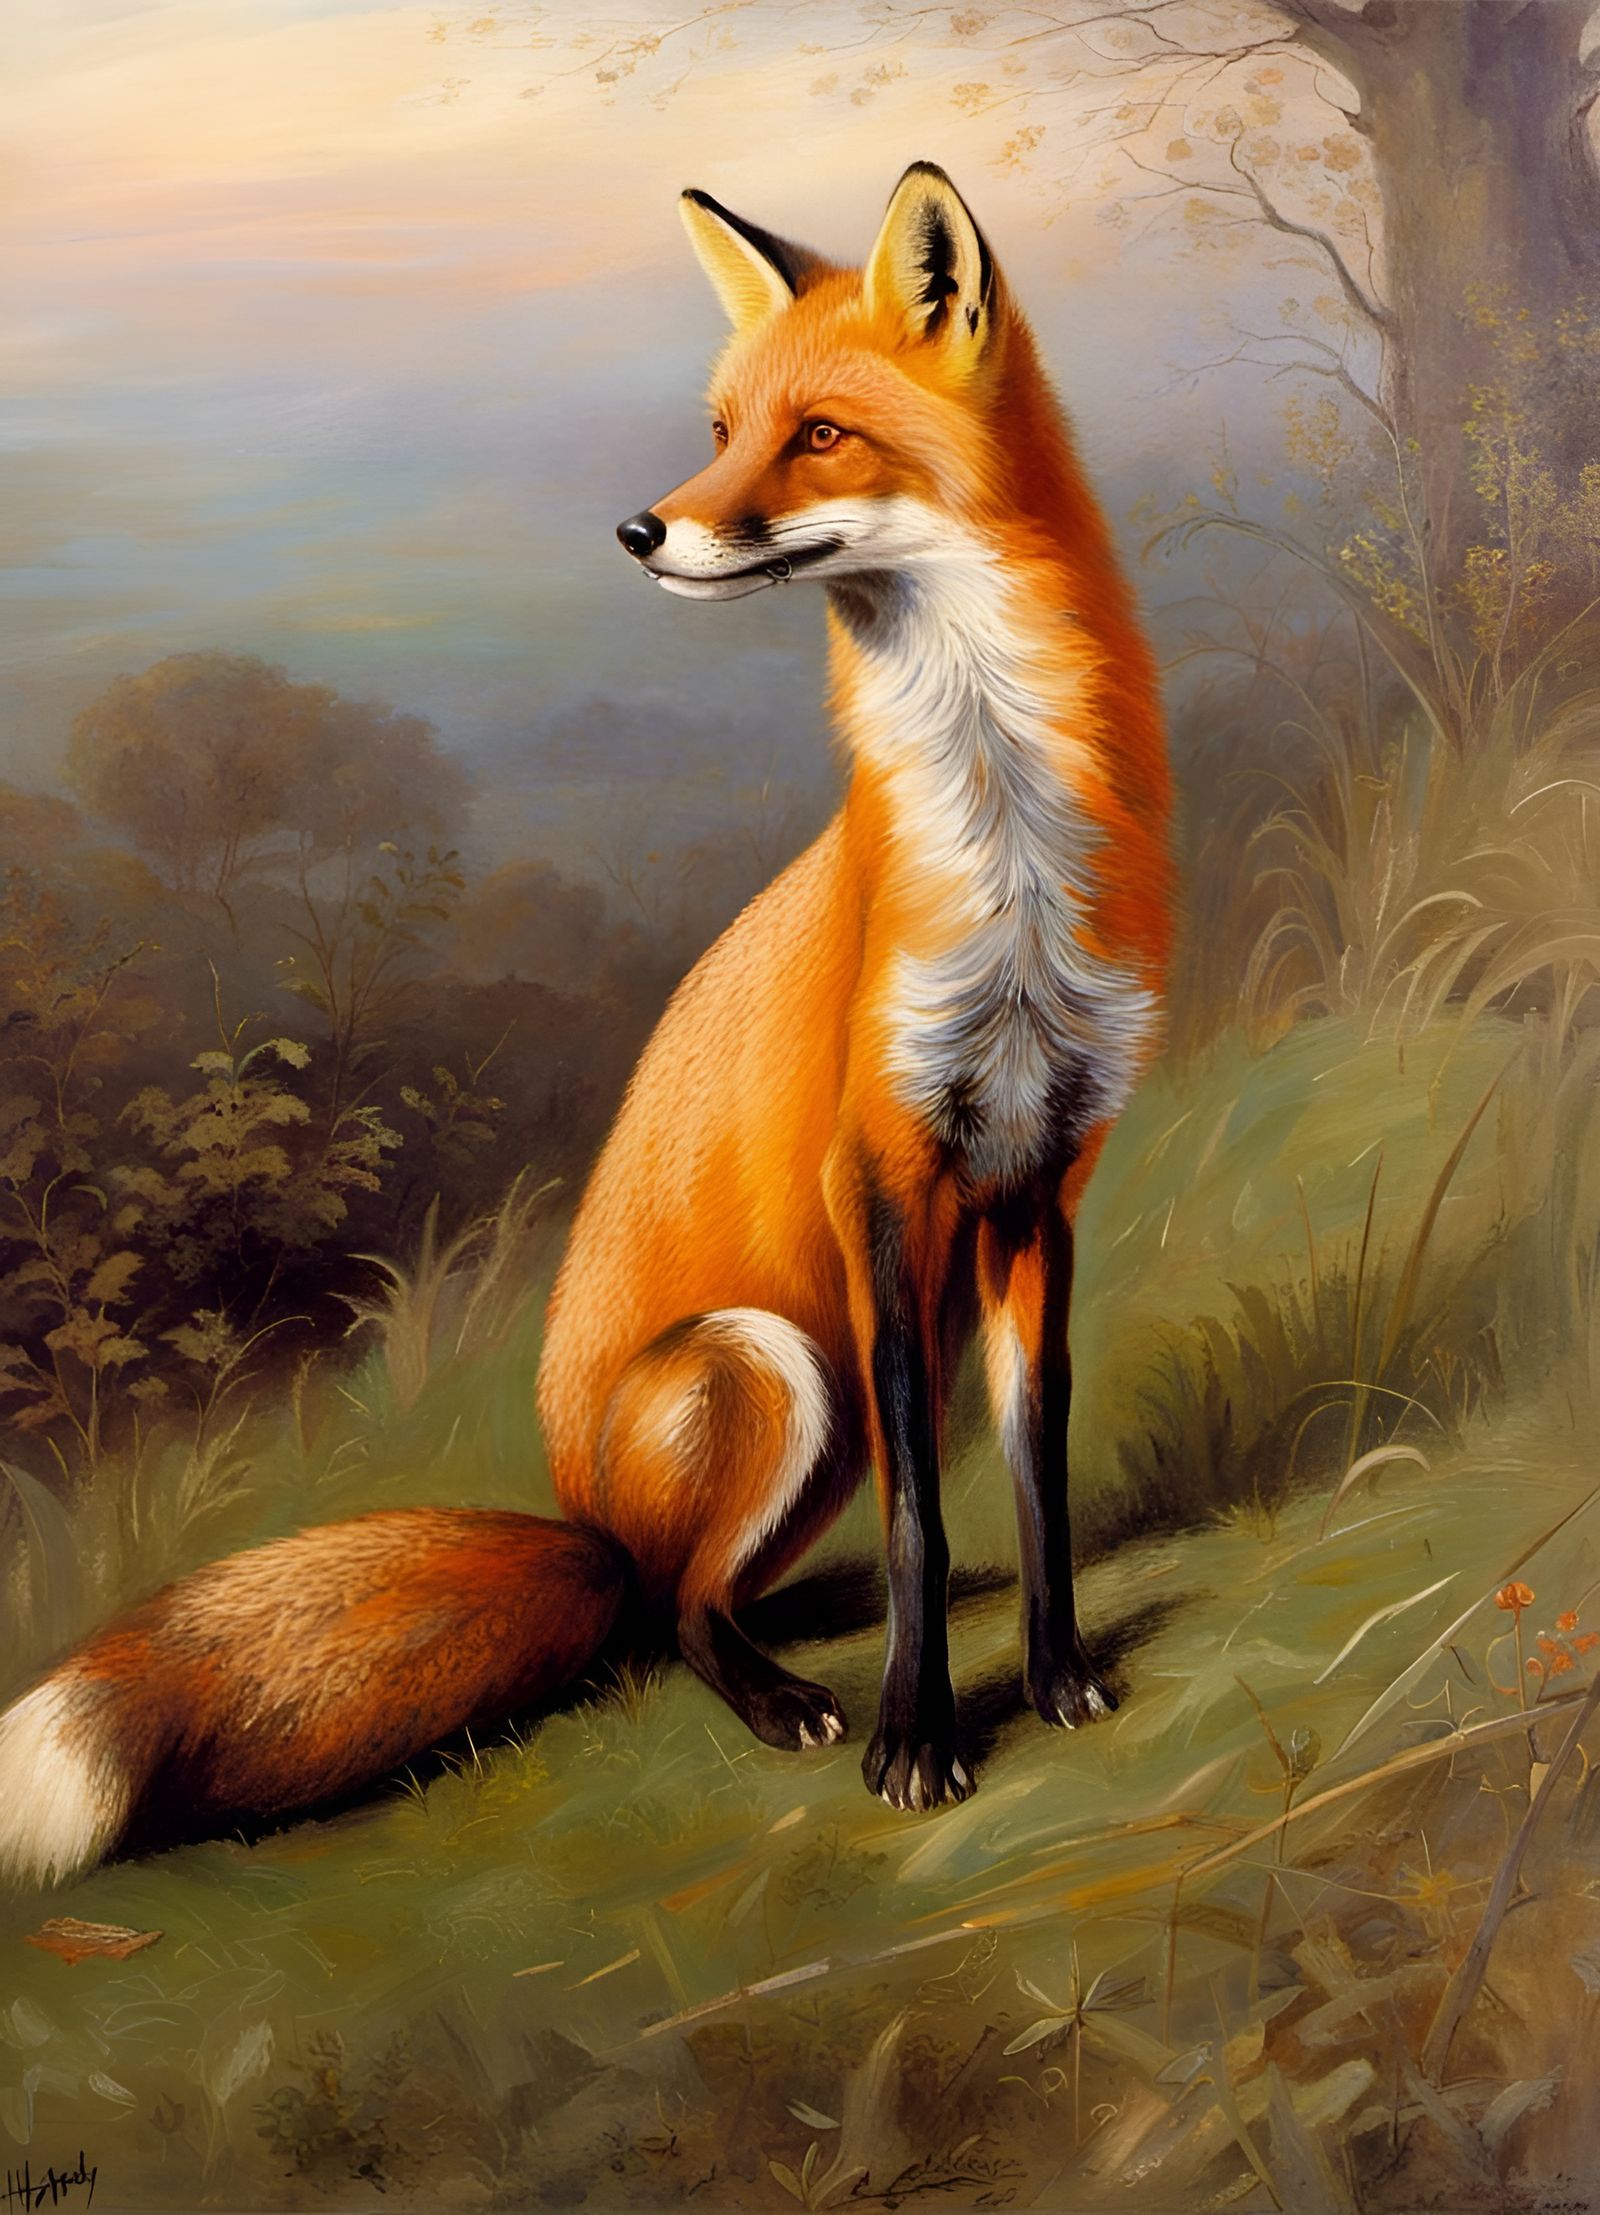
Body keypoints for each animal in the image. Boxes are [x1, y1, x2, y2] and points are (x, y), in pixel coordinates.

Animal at [0, 162, 1171, 1887]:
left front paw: (1055, 1670)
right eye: (718, 428)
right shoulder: (884, 1174)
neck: (1006, 857)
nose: (639, 528)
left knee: (707, 1587)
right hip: (769, 1360)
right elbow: (926, 1512)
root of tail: (579, 1514)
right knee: (672, 1612)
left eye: (818, 434)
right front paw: (919, 1736)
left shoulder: (1044, 1175)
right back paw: (780, 1691)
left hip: (816, 1390)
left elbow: (1028, 1475)